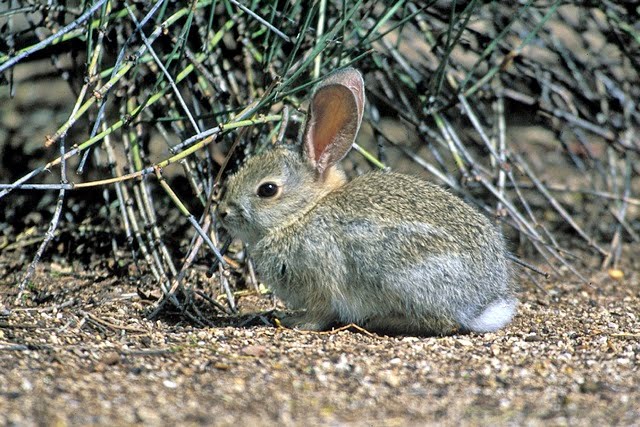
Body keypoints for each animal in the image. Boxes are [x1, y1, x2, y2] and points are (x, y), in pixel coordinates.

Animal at [217, 68, 517, 335]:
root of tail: (480, 304)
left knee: (442, 323)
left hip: (406, 277)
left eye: (267, 190)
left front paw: (296, 322)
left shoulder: (321, 282)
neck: (303, 213)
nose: (222, 212)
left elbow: (319, 314)